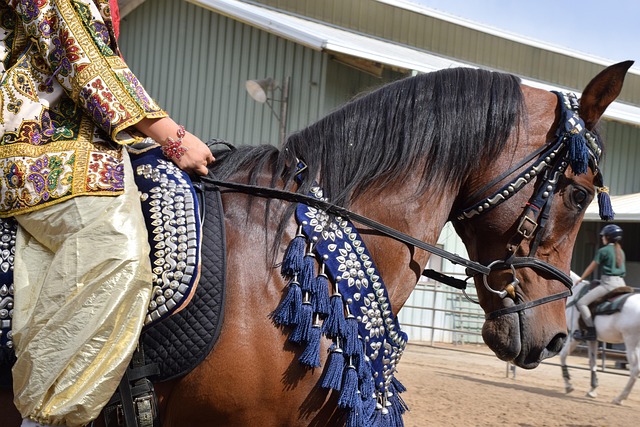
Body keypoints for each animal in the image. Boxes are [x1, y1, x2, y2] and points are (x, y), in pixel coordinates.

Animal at [560, 276, 640, 405]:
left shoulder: (574, 336)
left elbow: (562, 355)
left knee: (635, 370)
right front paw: (592, 389)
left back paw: (619, 398)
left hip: (631, 342)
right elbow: (592, 362)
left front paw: (568, 385)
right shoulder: (592, 339)